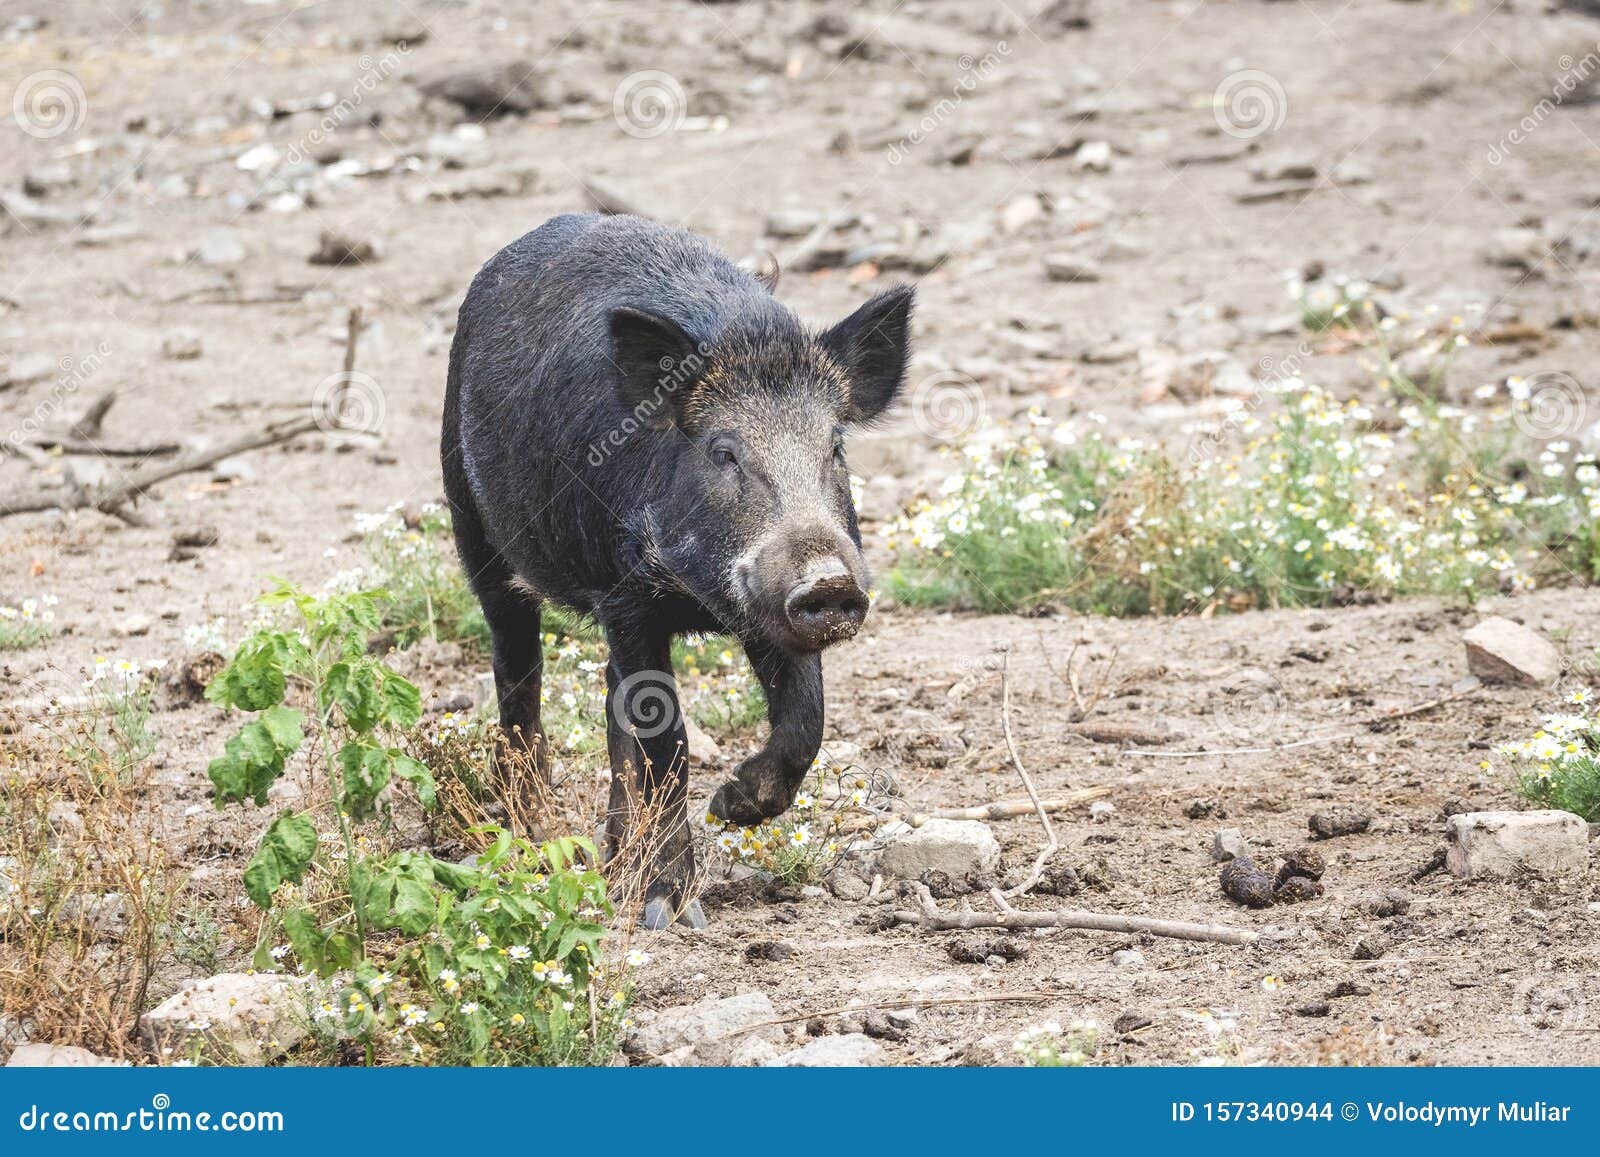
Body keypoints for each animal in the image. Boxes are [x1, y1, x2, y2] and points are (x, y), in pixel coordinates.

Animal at [442, 213, 913, 928]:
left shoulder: (769, 612)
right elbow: (670, 743)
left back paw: (613, 863)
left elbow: (806, 719)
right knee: (517, 674)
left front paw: (732, 806)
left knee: (610, 692)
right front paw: (672, 909)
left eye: (834, 446)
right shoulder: (624, 597)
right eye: (724, 452)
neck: (697, 596)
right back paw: (543, 843)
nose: (829, 582)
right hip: (474, 528)